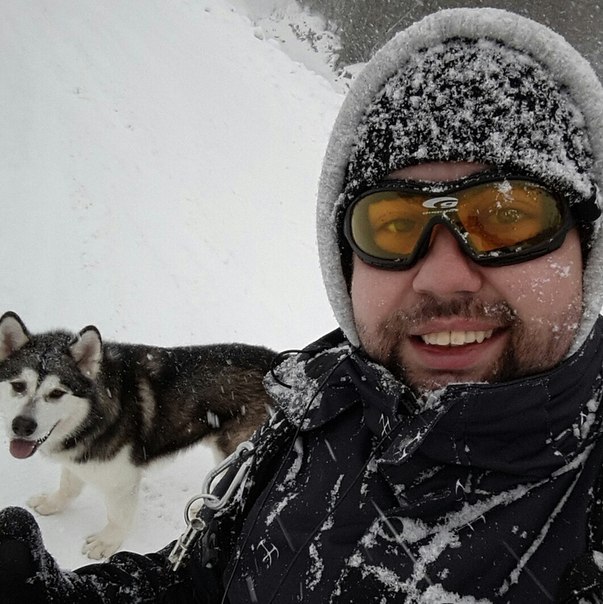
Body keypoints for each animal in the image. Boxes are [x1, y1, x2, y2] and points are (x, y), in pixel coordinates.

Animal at [0, 311, 275, 559]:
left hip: (236, 447)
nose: (22, 426)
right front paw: (52, 503)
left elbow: (117, 516)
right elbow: (68, 486)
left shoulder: (122, 479)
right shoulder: (80, 458)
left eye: (56, 393)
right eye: (18, 386)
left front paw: (107, 542)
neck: (94, 414)